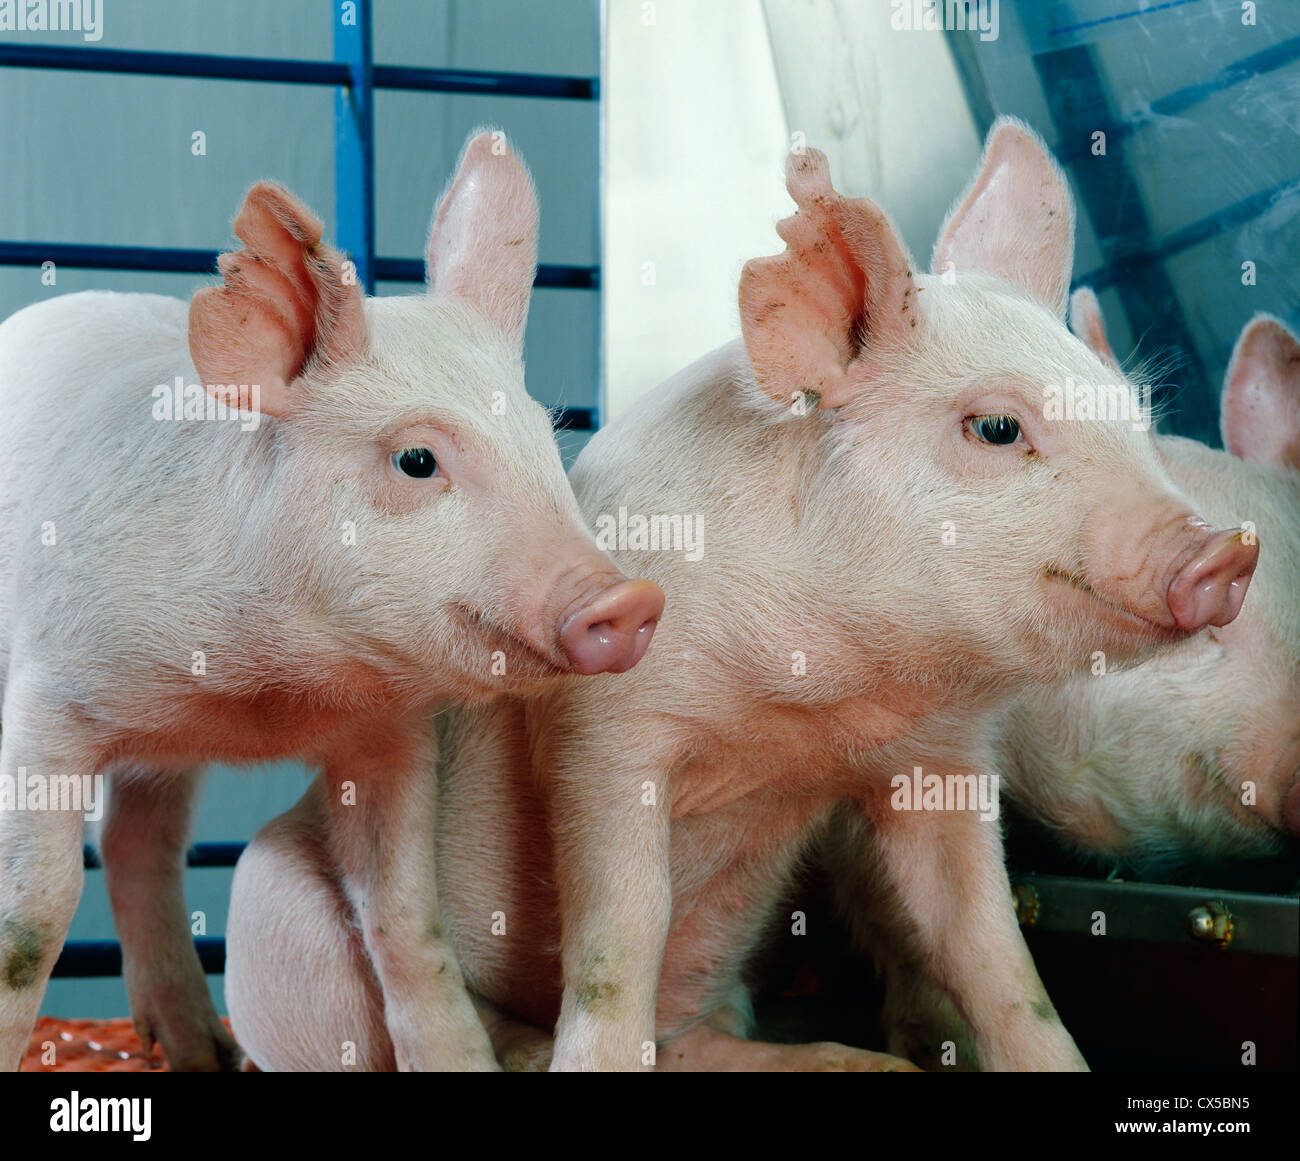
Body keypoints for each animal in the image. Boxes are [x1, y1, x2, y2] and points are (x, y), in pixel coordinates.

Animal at [0, 130, 662, 1073]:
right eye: (416, 459)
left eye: (546, 438)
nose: (630, 598)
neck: (264, 696)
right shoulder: (51, 694)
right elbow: (32, 921)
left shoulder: (389, 737)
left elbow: (409, 922)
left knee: (137, 841)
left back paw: (206, 1053)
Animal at [223, 118, 1257, 1072]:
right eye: (997, 427)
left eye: (1139, 414)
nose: (1224, 553)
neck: (821, 707)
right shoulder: (605, 728)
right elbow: (622, 928)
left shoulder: (941, 756)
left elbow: (992, 948)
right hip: (270, 918)